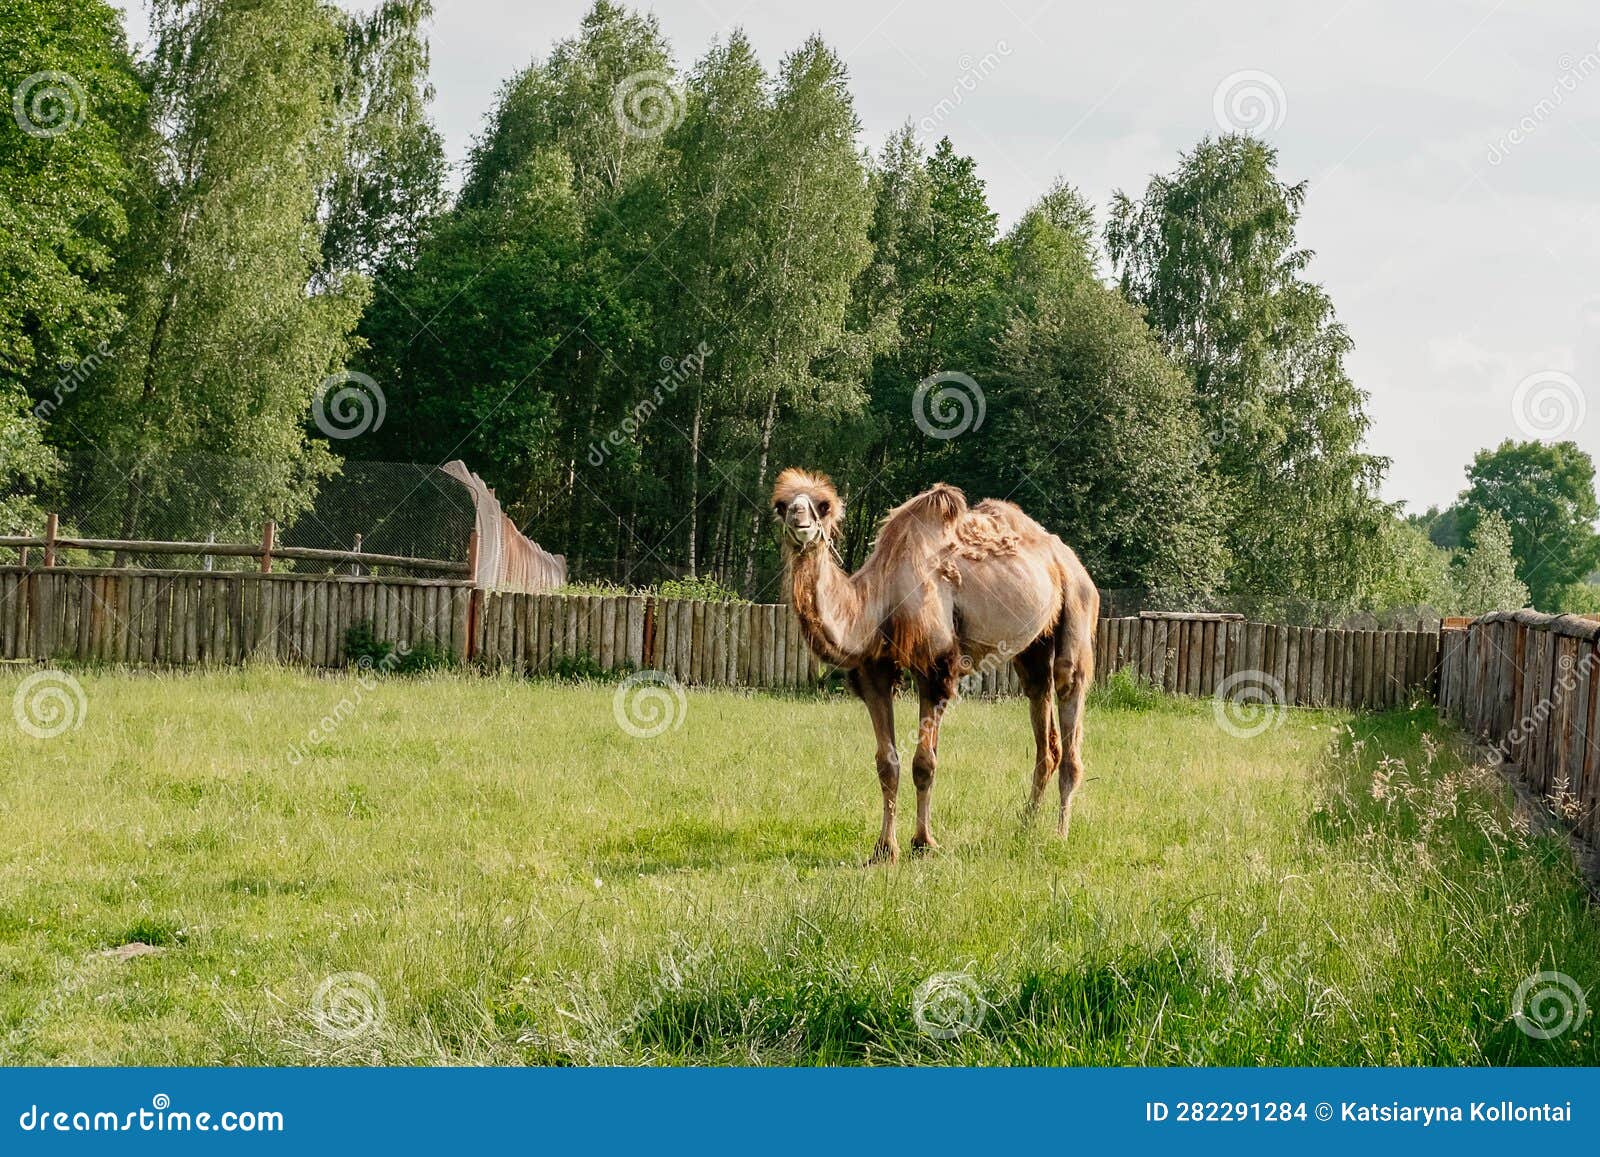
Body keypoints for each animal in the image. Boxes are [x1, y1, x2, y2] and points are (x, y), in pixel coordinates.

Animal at [772, 468, 1099, 864]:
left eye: (822, 506)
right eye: (781, 505)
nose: (798, 520)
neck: (879, 600)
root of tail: (1069, 559)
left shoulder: (936, 669)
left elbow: (923, 764)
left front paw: (923, 842)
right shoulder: (873, 673)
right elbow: (887, 763)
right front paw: (884, 849)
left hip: (1077, 606)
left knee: (1069, 695)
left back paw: (1059, 834)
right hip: (1035, 646)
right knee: (1043, 720)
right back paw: (1024, 827)